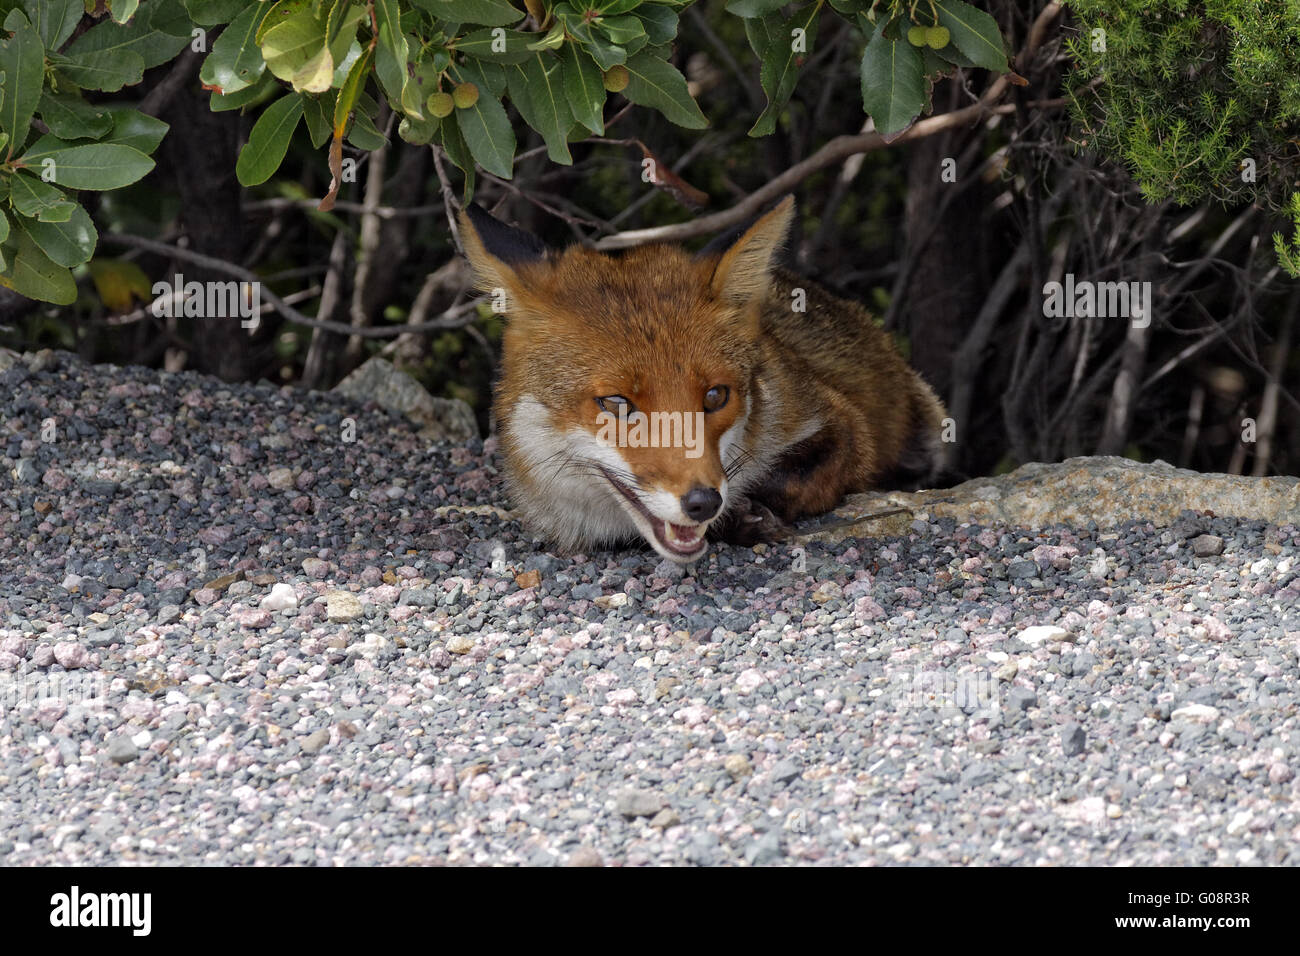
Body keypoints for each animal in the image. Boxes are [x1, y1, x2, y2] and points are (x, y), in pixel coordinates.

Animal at [457, 196, 947, 564]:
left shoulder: (840, 418)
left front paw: (745, 514)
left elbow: (806, 474)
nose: (702, 503)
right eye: (616, 403)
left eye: (715, 395)